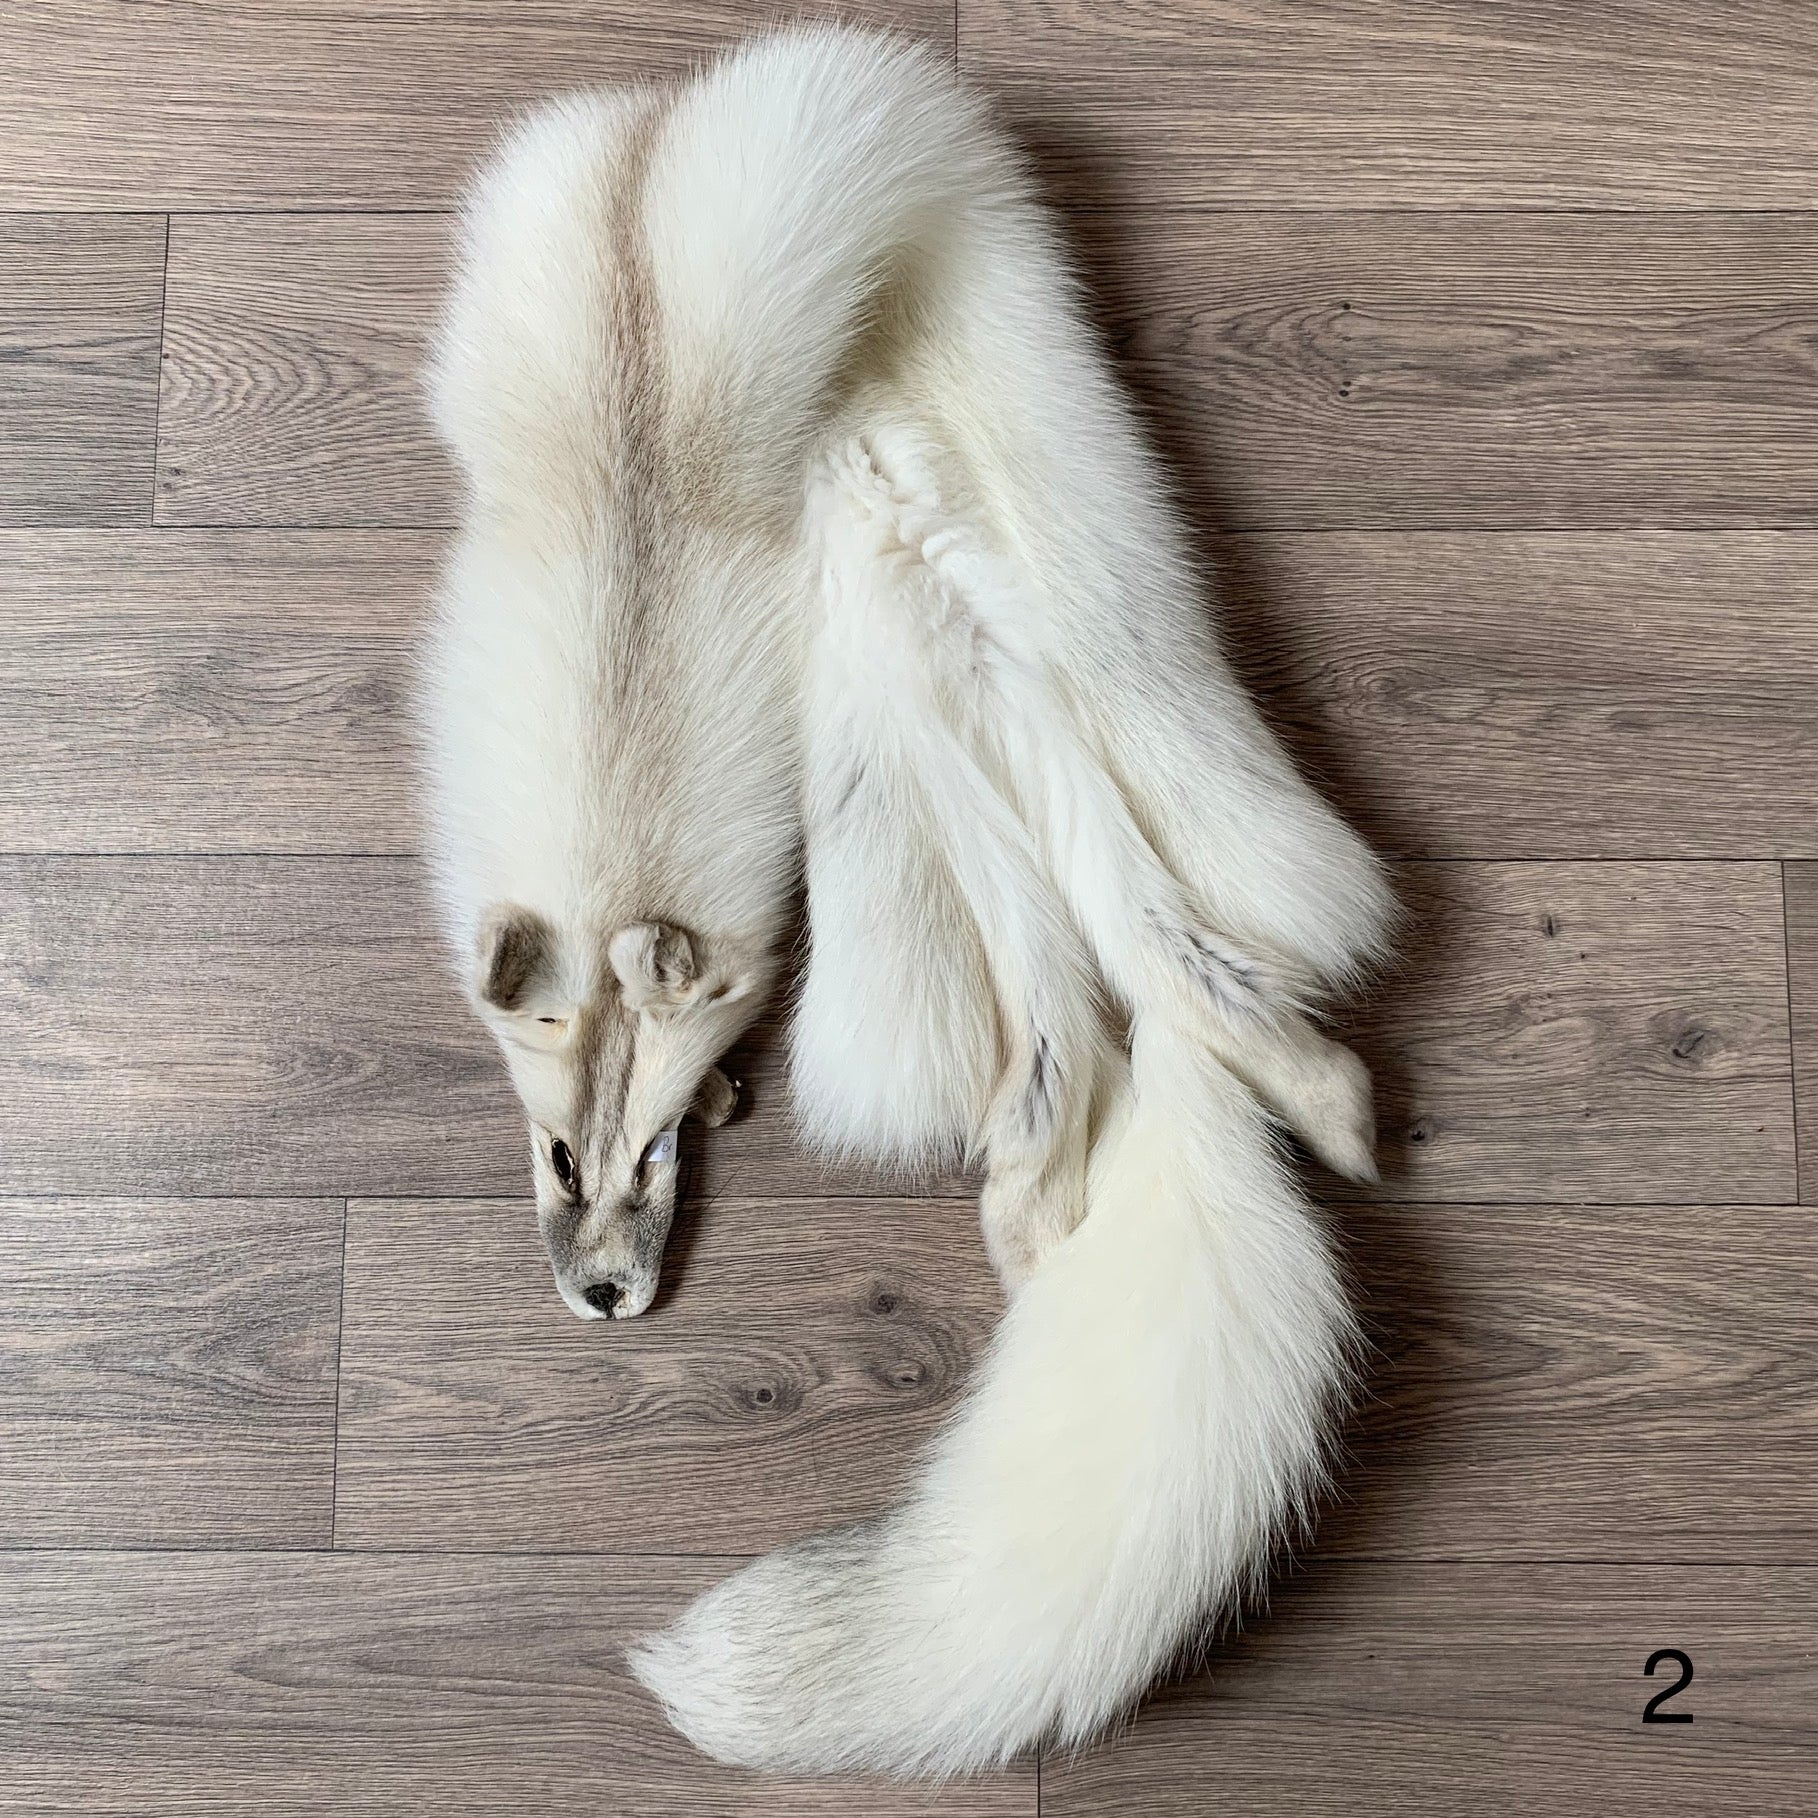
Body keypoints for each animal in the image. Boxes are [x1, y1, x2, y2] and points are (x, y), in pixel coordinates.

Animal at [419, 26, 1393, 1779]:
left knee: (1093, 979)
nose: (603, 1299)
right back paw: (1272, 1117)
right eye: (555, 1154)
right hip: (990, 678)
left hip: (915, 651)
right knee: (1121, 966)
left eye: (647, 1159)